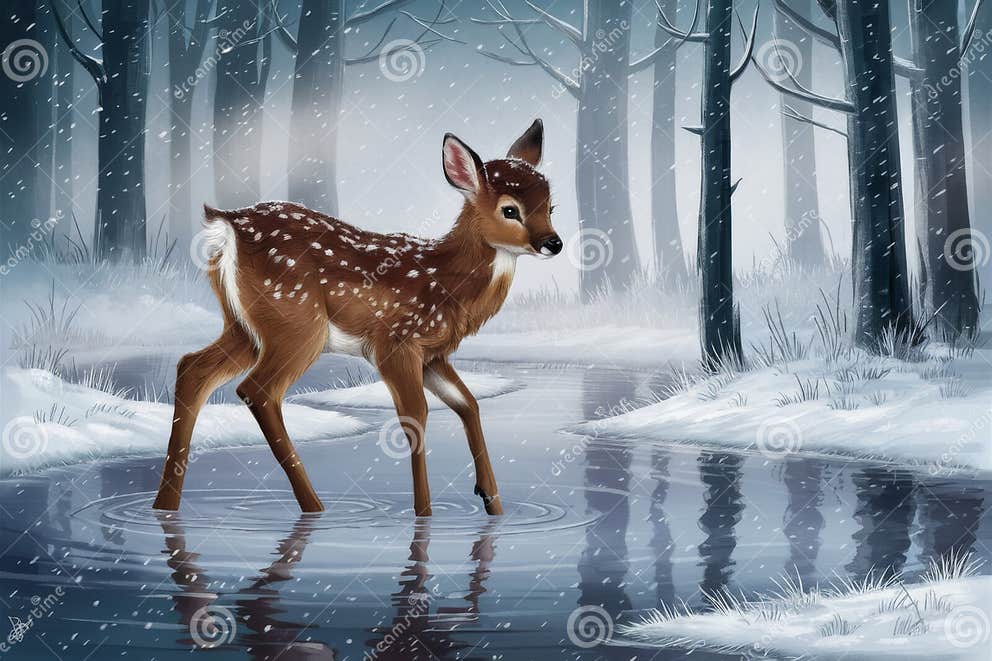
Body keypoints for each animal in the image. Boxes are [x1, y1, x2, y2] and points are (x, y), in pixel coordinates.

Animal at [152, 119, 561, 517]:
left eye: (551, 207)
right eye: (510, 210)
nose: (553, 243)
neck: (447, 283)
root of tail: (227, 226)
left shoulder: (432, 355)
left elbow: (469, 404)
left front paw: (492, 502)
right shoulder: (395, 341)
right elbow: (416, 415)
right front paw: (424, 513)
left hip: (247, 326)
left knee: (193, 368)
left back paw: (166, 504)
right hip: (297, 323)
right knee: (257, 390)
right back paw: (314, 506)